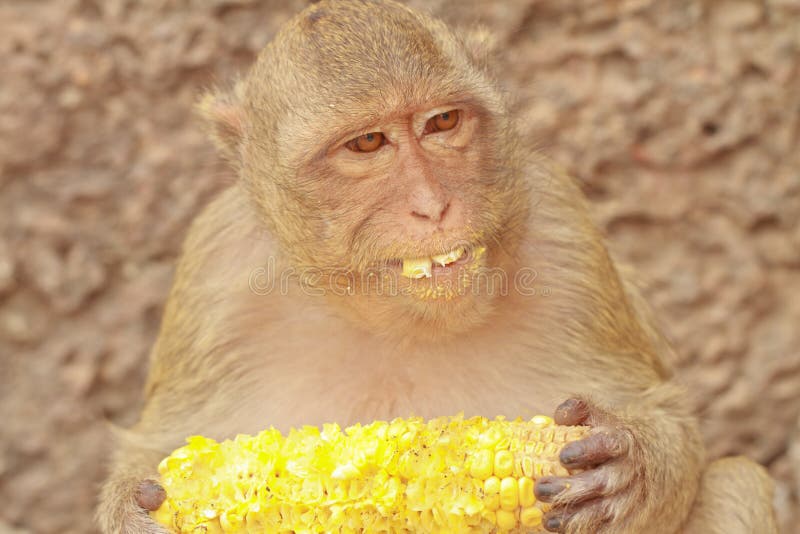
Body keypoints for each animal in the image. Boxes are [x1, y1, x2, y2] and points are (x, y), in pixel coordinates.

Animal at [96, 1, 778, 533]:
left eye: (443, 121)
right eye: (367, 143)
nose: (433, 205)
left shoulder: (565, 233)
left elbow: (666, 417)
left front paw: (630, 462)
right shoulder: (214, 274)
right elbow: (162, 444)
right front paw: (129, 509)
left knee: (737, 481)